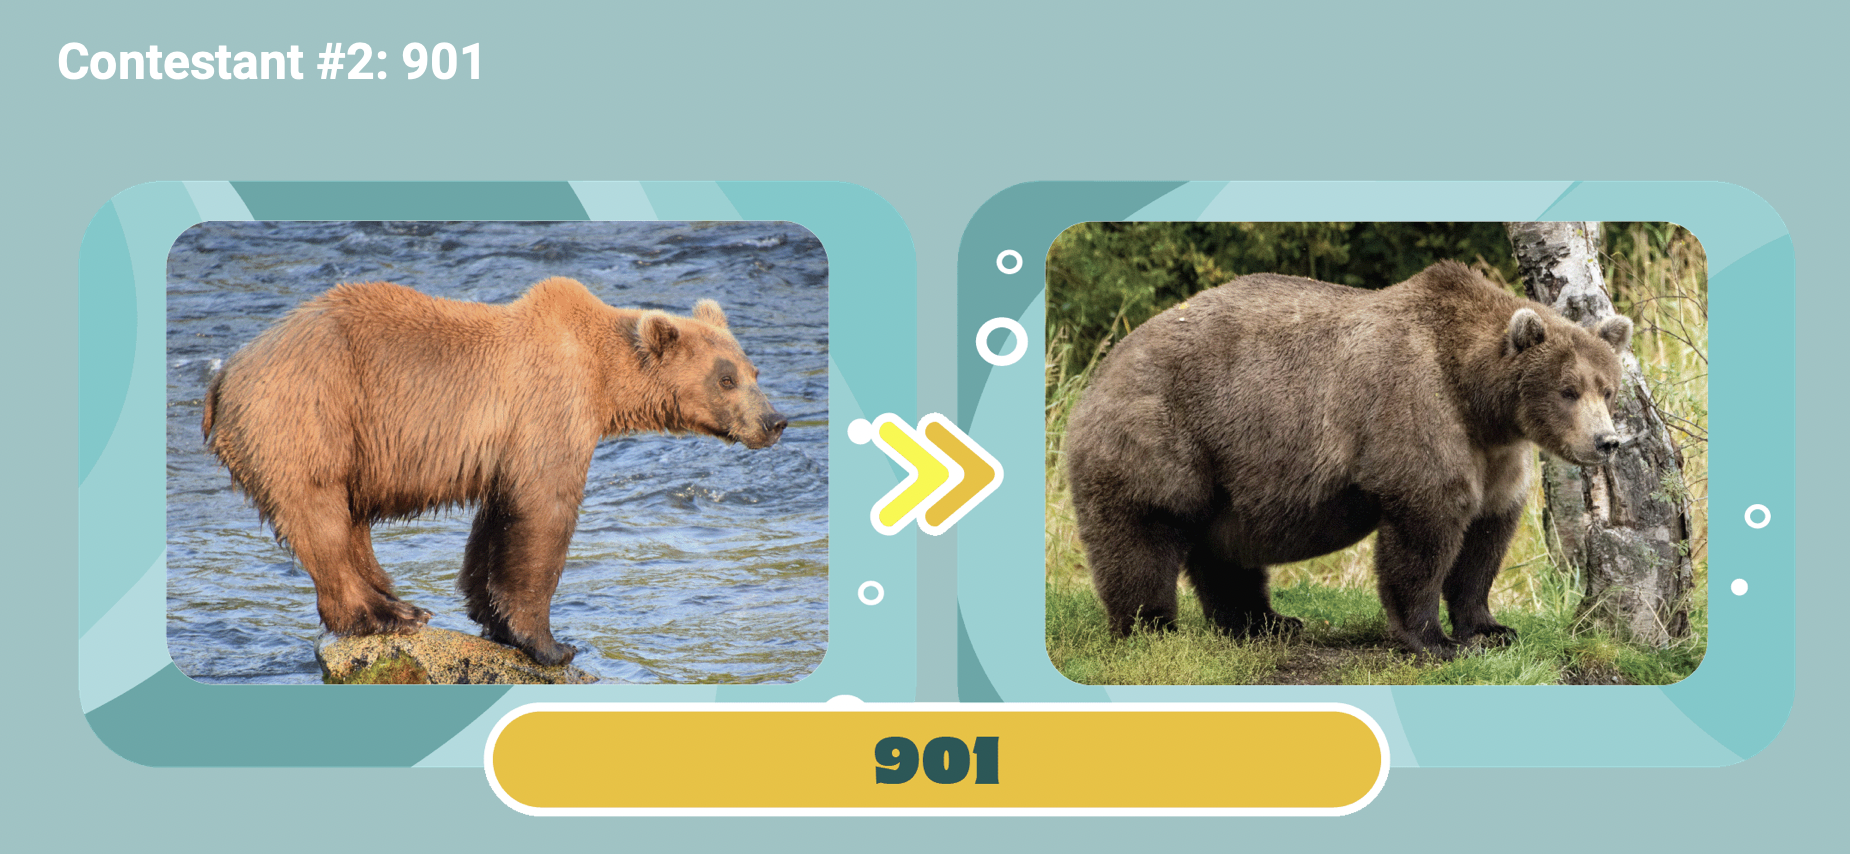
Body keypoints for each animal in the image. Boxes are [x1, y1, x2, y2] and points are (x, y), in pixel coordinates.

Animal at [202, 277, 787, 667]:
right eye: (727, 378)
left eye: (754, 370)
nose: (776, 421)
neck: (602, 379)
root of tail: (225, 374)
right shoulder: (548, 409)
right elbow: (543, 514)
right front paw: (552, 644)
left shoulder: (505, 447)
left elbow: (496, 520)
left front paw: (491, 616)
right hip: (309, 415)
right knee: (320, 515)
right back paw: (386, 614)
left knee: (349, 519)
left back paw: (399, 601)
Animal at [1063, 260, 1632, 658]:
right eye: (1567, 390)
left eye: (1607, 388)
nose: (1607, 441)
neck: (1479, 401)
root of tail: (1101, 370)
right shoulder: (1415, 411)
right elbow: (1425, 533)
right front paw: (1436, 640)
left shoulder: (1498, 455)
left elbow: (1486, 538)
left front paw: (1492, 629)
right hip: (1163, 434)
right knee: (1142, 534)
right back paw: (1151, 627)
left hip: (1229, 469)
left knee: (1223, 548)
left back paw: (1265, 622)